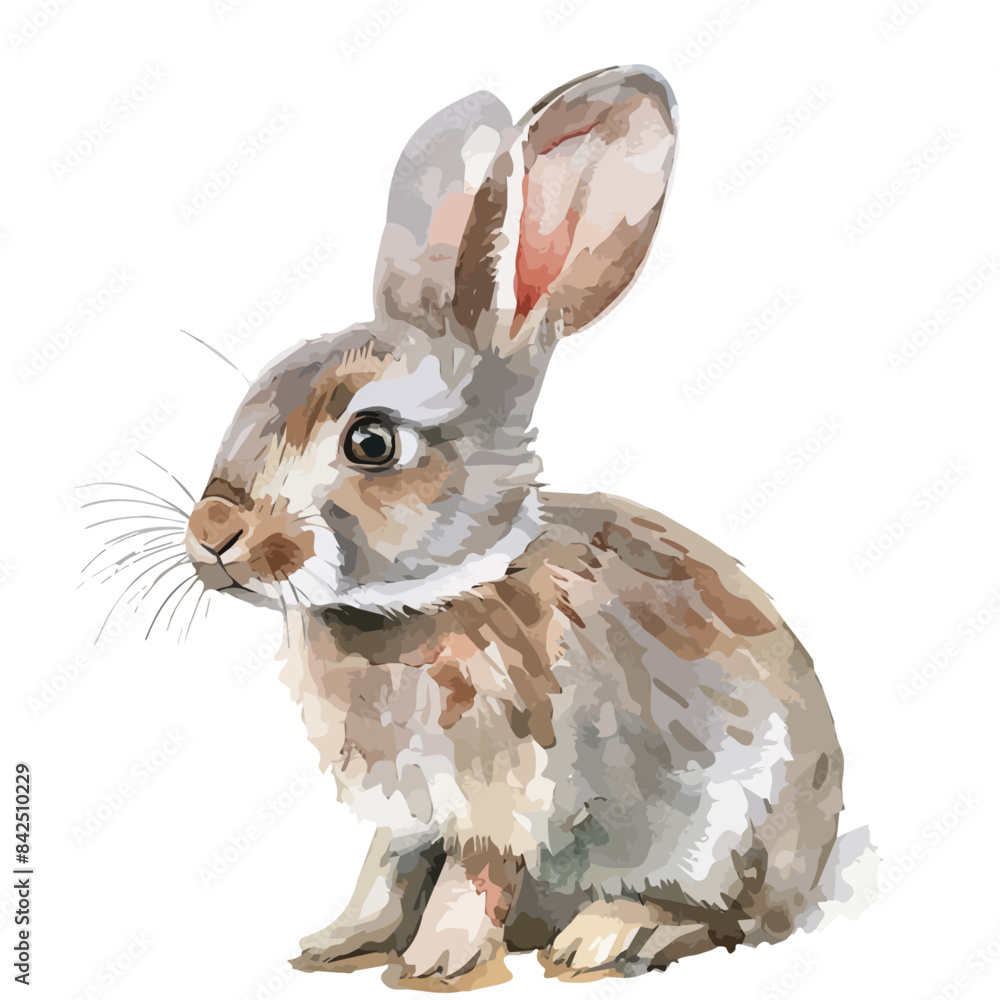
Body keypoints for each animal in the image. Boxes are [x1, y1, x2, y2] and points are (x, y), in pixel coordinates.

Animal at [178, 65, 872, 988]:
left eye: (371, 442)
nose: (213, 530)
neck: (437, 595)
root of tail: (818, 851)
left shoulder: (505, 793)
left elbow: (473, 877)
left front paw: (433, 964)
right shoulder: (409, 813)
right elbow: (385, 869)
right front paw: (335, 941)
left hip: (727, 836)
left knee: (728, 920)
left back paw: (606, 933)